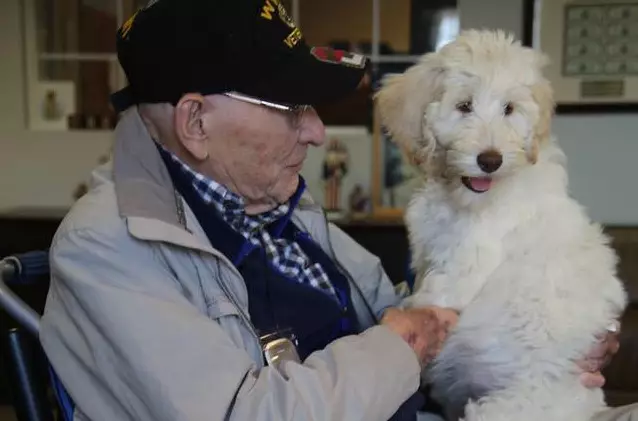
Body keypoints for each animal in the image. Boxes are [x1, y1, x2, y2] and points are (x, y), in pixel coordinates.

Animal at [378, 30, 628, 420]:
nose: (490, 160)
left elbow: (431, 294)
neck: (468, 198)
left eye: (509, 109)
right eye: (464, 105)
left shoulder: (467, 264)